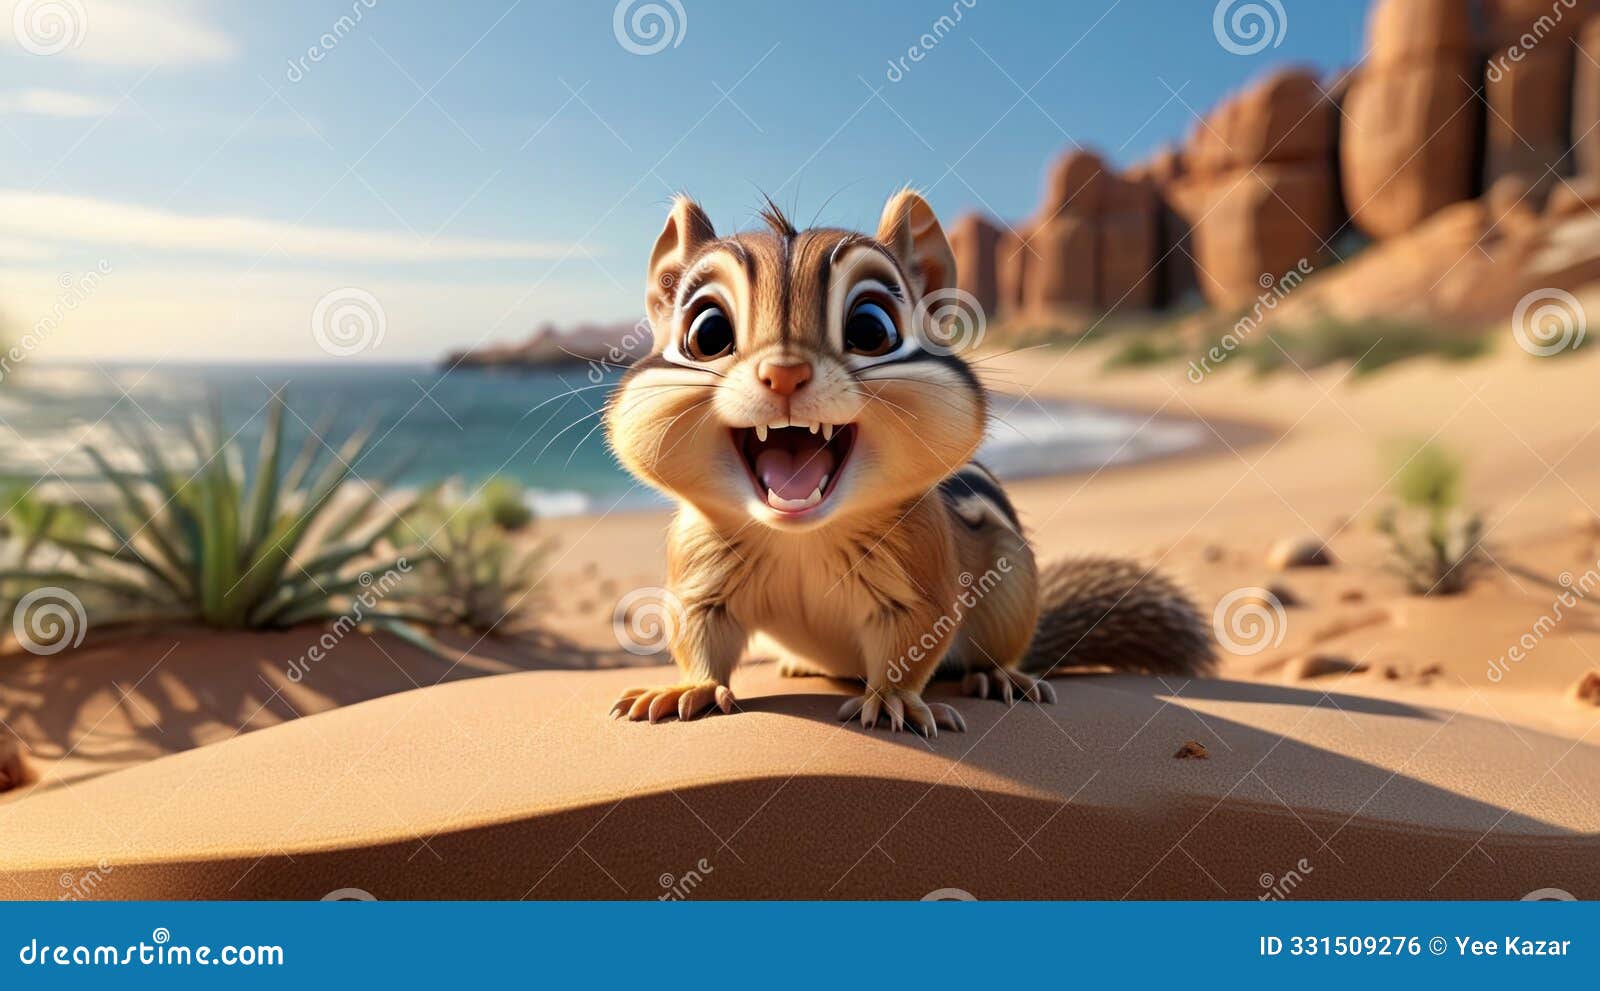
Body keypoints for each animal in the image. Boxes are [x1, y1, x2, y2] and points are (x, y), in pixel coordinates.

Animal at [604, 190, 1213, 734]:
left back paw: (1001, 678)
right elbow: (699, 636)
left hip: (1011, 591)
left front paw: (893, 700)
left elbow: (911, 646)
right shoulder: (700, 574)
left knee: (994, 655)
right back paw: (799, 663)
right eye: (707, 332)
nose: (784, 373)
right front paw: (689, 689)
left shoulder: (921, 577)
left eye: (871, 327)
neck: (801, 538)